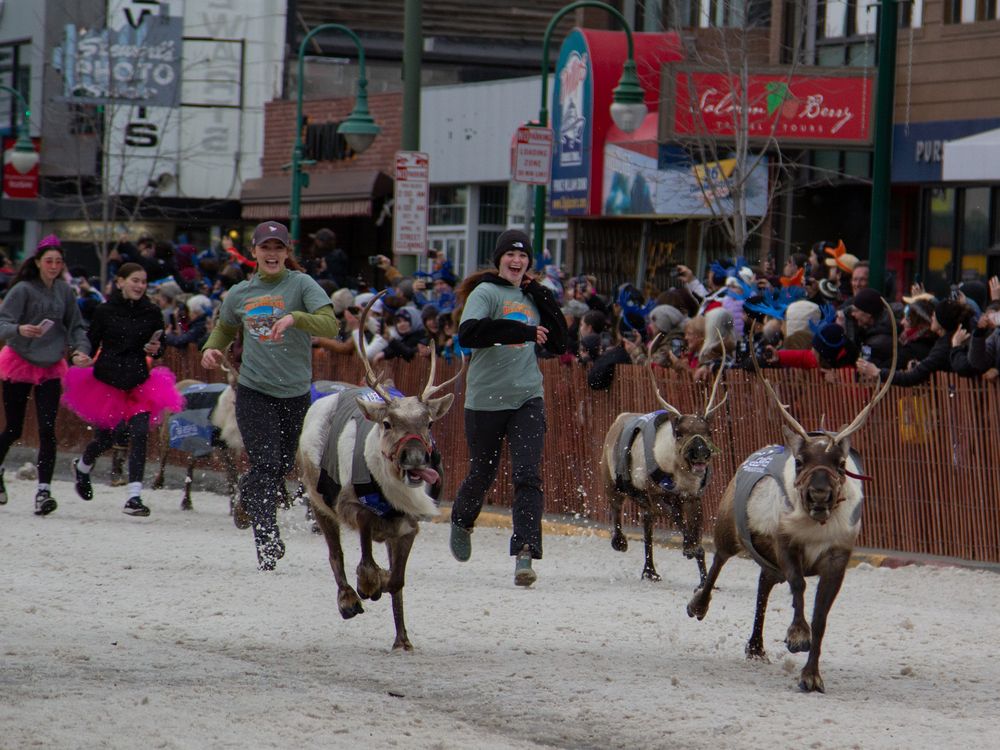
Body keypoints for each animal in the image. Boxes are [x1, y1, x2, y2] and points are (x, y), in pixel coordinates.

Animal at [297, 290, 464, 651]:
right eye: (388, 423)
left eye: (429, 423)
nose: (415, 457)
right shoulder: (351, 506)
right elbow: (365, 559)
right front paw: (367, 585)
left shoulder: (408, 526)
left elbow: (398, 581)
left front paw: (402, 635)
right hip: (318, 502)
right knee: (335, 554)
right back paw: (347, 600)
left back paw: (401, 637)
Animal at [601, 334, 726, 587]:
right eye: (679, 432)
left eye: (708, 432)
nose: (701, 452)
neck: (681, 476)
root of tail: (618, 419)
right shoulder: (658, 497)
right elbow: (682, 526)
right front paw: (688, 549)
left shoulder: (693, 498)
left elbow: (697, 539)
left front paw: (705, 580)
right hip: (611, 479)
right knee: (616, 507)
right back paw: (620, 542)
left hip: (645, 504)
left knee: (647, 526)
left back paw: (650, 570)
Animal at [686, 300, 897, 692]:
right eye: (800, 461)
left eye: (841, 462)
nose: (819, 494)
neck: (815, 527)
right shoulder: (783, 542)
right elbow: (799, 586)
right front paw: (797, 636)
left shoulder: (837, 556)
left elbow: (822, 617)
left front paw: (811, 674)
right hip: (728, 526)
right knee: (719, 561)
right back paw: (698, 605)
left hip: (767, 561)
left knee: (763, 586)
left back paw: (755, 646)